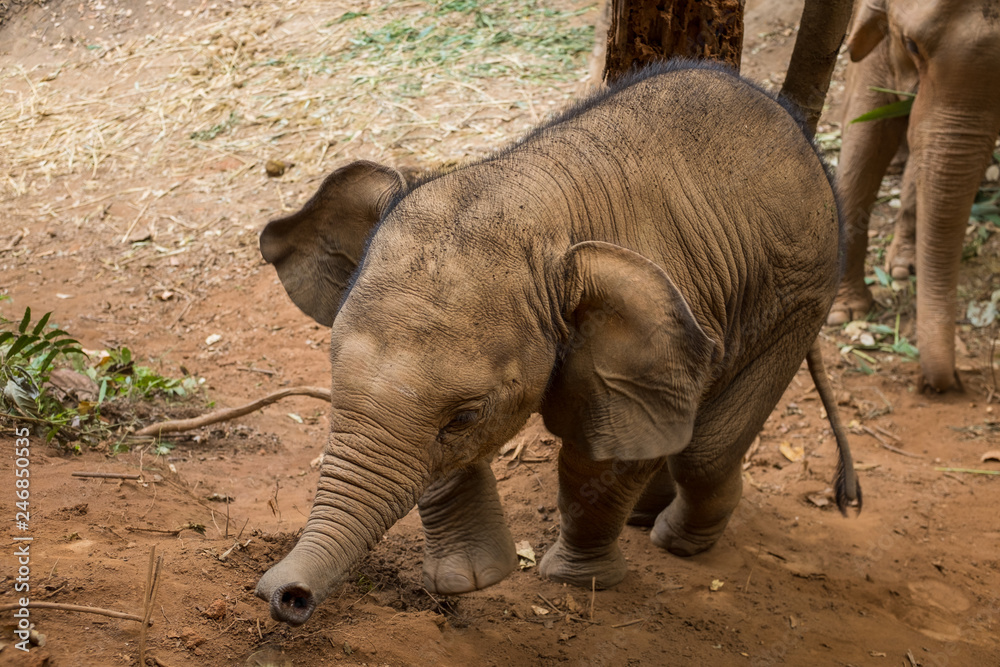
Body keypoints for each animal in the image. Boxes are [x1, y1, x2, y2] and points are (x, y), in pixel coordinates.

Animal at [254, 60, 861, 627]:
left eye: (465, 417)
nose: (286, 597)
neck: (536, 200)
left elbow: (600, 455)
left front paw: (573, 581)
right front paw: (469, 582)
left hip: (801, 297)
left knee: (705, 451)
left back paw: (675, 541)